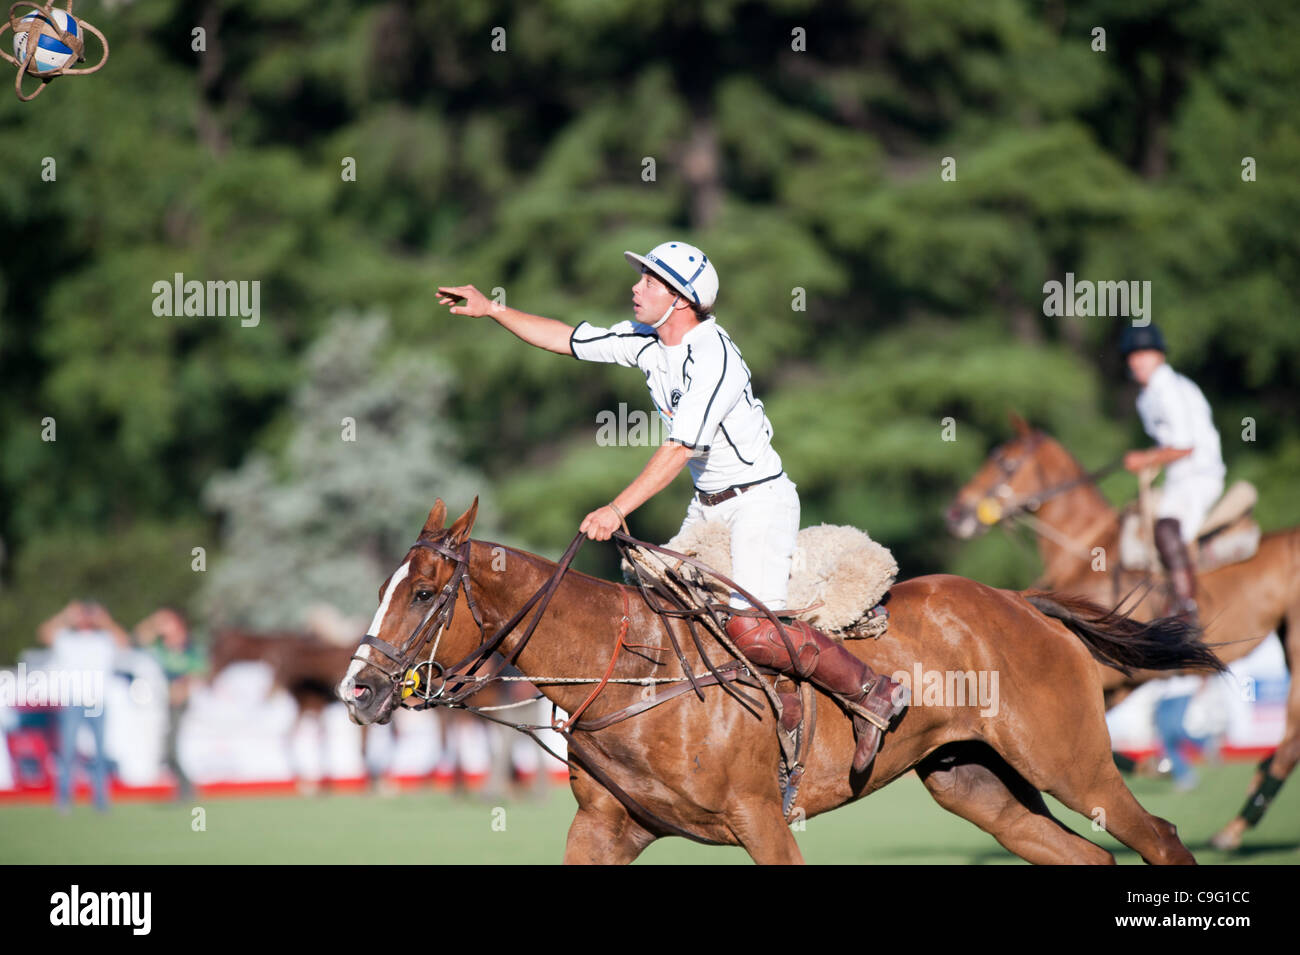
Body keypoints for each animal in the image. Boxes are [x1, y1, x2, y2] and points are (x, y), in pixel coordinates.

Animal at [340, 498, 1226, 865]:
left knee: (1158, 836)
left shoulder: (762, 817)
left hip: (1069, 760)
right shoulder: (605, 830)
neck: (628, 673)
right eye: (388, 584)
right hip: (976, 781)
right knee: (1089, 858)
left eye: (424, 592)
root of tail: (1024, 600)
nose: (358, 690)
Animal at [944, 414, 1300, 850]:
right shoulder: (1119, 677)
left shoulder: (1110, 671)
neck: (1085, 552)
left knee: (1290, 741)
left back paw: (1232, 831)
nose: (956, 514)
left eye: (1006, 463)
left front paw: (1159, 765)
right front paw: (1158, 765)